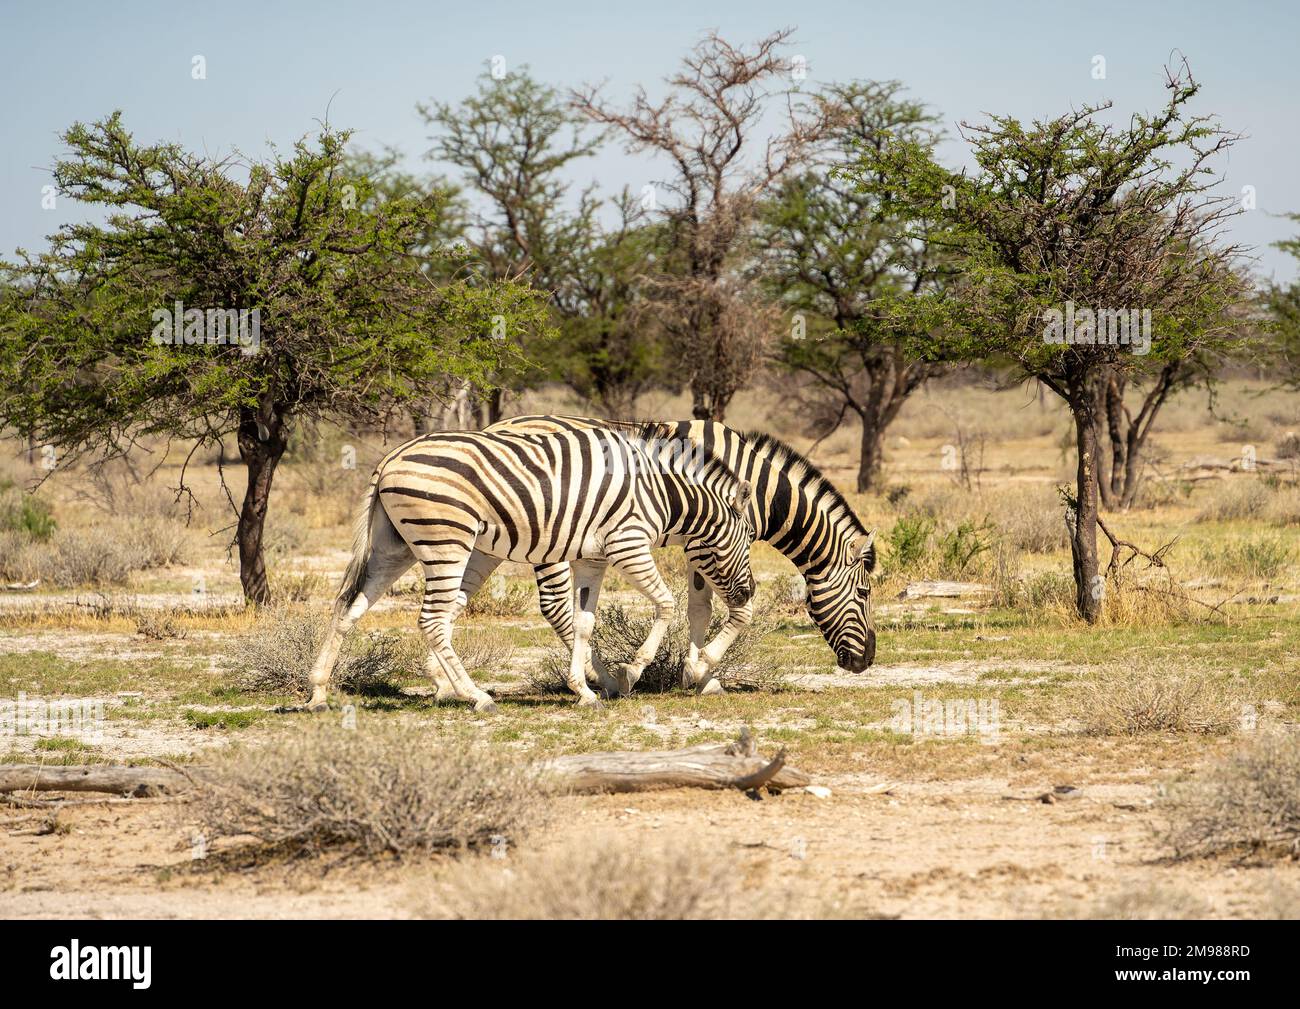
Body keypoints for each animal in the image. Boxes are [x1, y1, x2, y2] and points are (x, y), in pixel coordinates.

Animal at [304, 423, 757, 712]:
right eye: (750, 536)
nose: (749, 593)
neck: (661, 491)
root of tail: (391, 458)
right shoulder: (628, 544)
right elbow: (664, 604)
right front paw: (631, 671)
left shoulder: (592, 557)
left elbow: (583, 622)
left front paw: (584, 691)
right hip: (446, 540)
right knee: (432, 620)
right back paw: (476, 697)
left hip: (394, 548)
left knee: (349, 608)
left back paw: (319, 692)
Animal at [486, 416, 877, 692]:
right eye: (863, 593)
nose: (868, 661)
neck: (757, 487)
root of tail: (495, 425)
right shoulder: (708, 544)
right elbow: (740, 610)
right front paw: (701, 668)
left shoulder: (705, 545)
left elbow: (700, 609)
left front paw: (695, 675)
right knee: (556, 606)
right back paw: (602, 678)